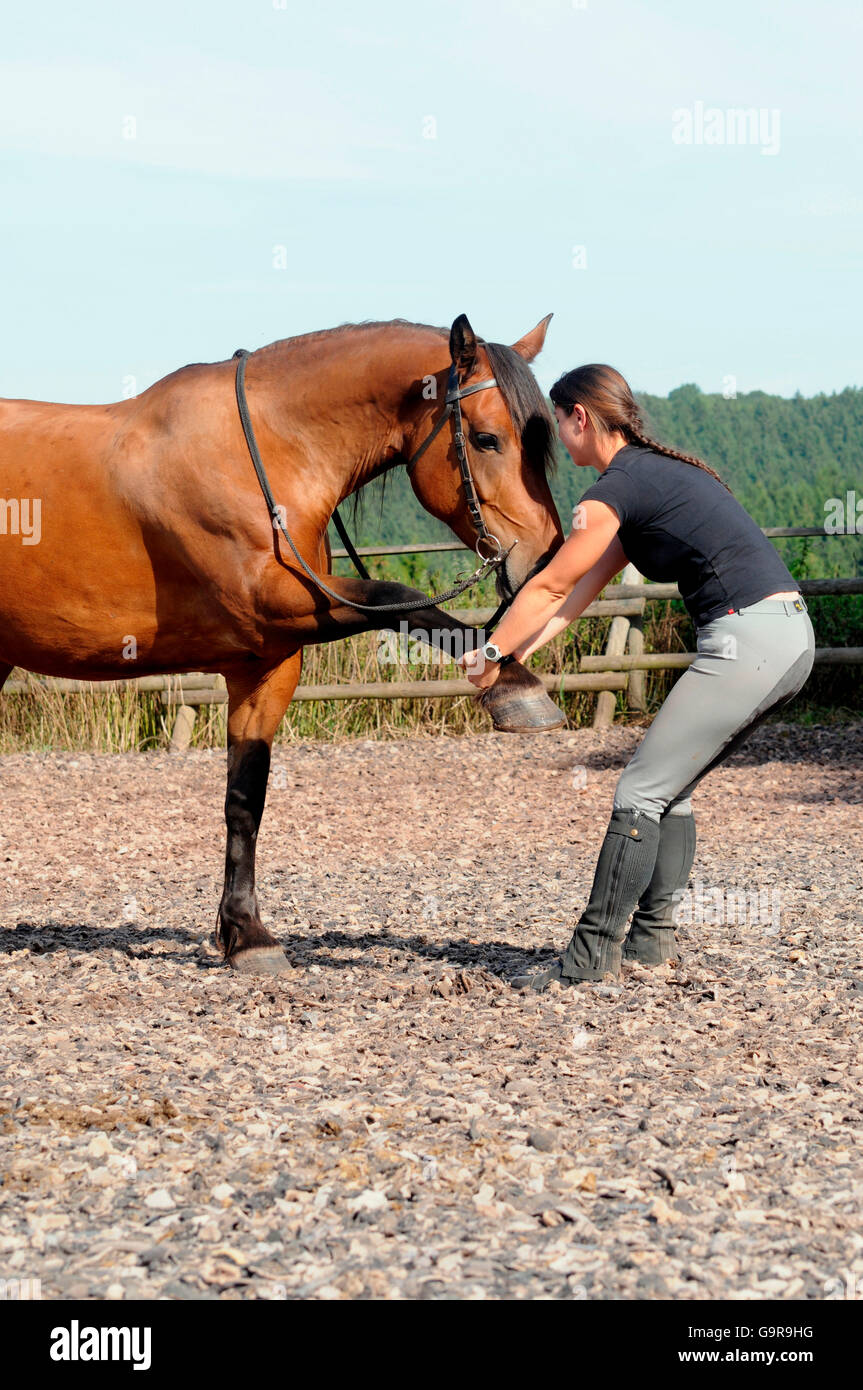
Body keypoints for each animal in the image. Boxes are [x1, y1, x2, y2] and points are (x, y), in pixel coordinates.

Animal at [0, 313, 565, 973]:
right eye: (486, 439)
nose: (547, 558)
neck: (268, 453)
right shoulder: (277, 607)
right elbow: (400, 596)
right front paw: (517, 689)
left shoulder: (265, 665)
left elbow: (244, 800)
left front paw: (246, 934)